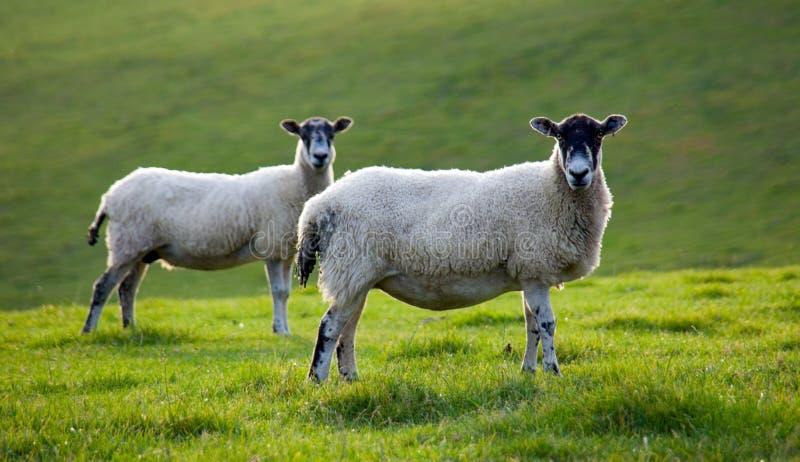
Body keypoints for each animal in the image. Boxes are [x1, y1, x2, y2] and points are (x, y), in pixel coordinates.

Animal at [81, 116, 353, 334]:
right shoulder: (272, 247)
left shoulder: (285, 251)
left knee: (126, 289)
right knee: (103, 286)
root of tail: (110, 195)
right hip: (126, 243)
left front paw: (284, 329)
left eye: (331, 134)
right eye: (303, 135)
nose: (320, 157)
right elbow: (278, 292)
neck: (295, 183)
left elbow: (285, 293)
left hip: (140, 249)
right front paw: (280, 330)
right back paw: (89, 330)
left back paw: (130, 328)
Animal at [296, 113, 627, 381]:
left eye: (598, 135)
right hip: (351, 265)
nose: (579, 173)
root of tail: (318, 206)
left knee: (347, 329)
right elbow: (547, 324)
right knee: (329, 326)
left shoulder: (529, 274)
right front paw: (553, 372)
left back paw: (350, 377)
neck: (550, 190)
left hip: (358, 277)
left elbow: (531, 325)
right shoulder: (536, 269)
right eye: (560, 137)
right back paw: (317, 380)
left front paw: (529, 371)